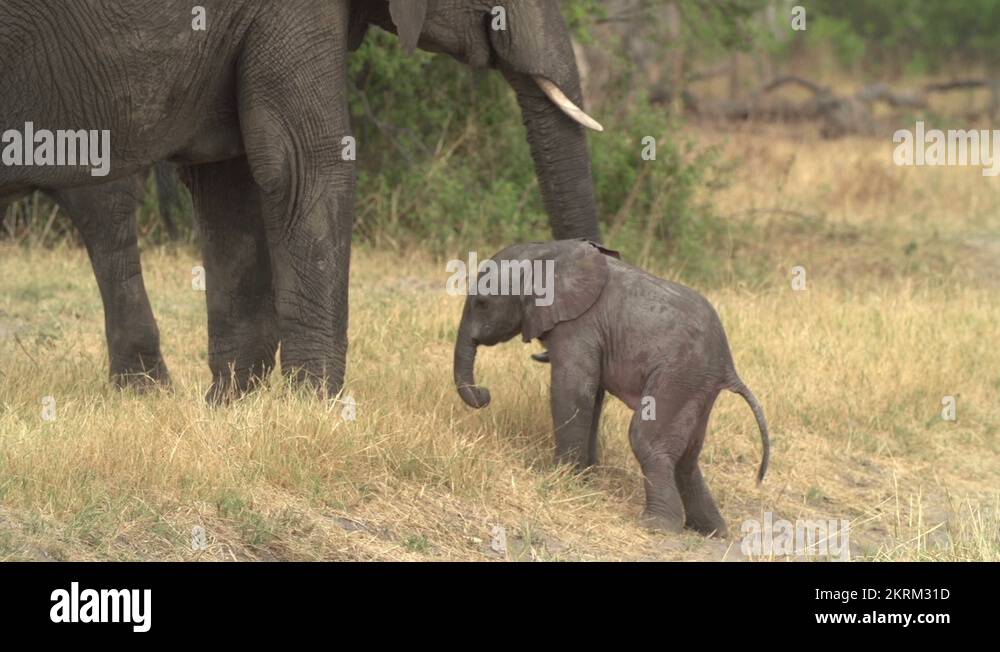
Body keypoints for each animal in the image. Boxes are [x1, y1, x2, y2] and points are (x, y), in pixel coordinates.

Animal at [0, 0, 603, 402]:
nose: (540, 353)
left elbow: (231, 178)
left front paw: (234, 407)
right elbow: (303, 161)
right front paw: (314, 408)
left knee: (103, 204)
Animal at [453, 240, 770, 537]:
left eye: (482, 303)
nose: (484, 394)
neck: (547, 252)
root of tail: (728, 365)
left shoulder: (578, 326)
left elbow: (572, 390)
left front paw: (559, 478)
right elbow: (592, 397)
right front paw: (583, 478)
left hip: (680, 374)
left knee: (647, 439)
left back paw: (657, 526)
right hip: (697, 385)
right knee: (687, 456)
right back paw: (711, 530)